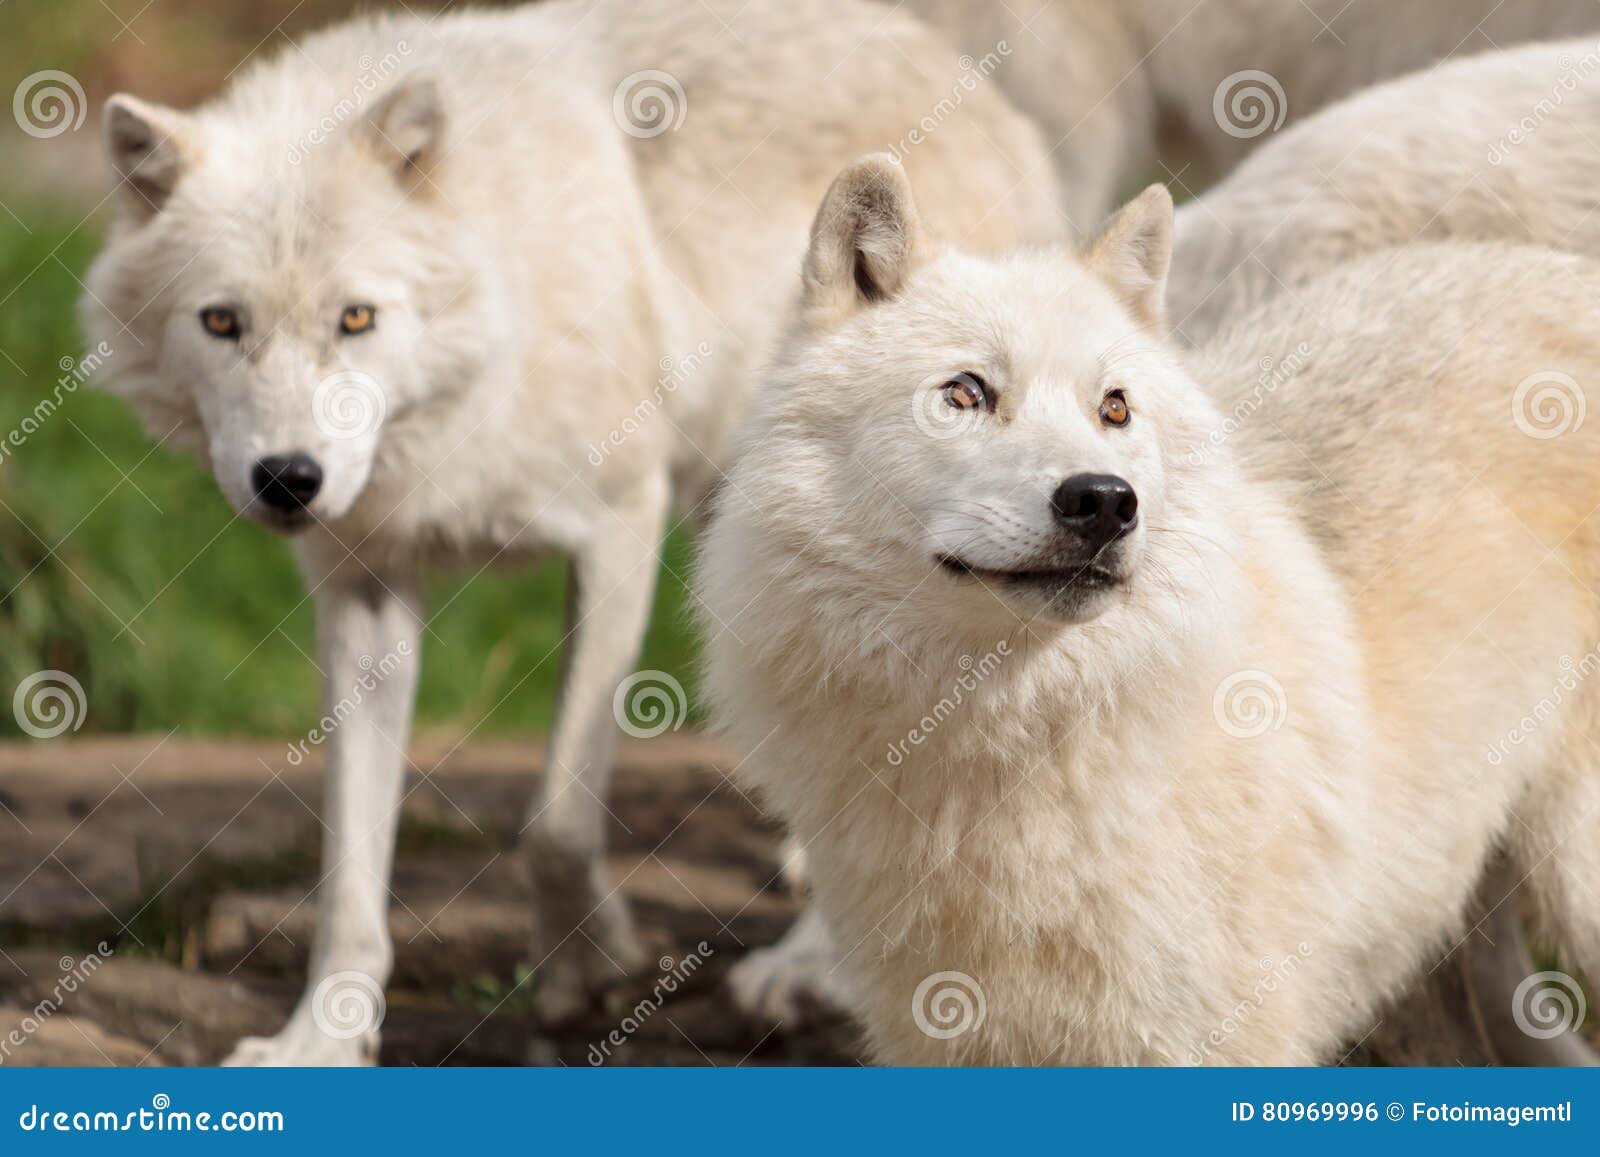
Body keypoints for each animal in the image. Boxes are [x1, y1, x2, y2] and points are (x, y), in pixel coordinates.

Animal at [79, 1, 1063, 1064]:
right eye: (222, 322)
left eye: (356, 318)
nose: (289, 480)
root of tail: (964, 75)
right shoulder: (363, 586)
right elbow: (348, 873)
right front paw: (320, 1041)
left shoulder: (618, 529)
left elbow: (555, 822)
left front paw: (588, 969)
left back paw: (809, 966)